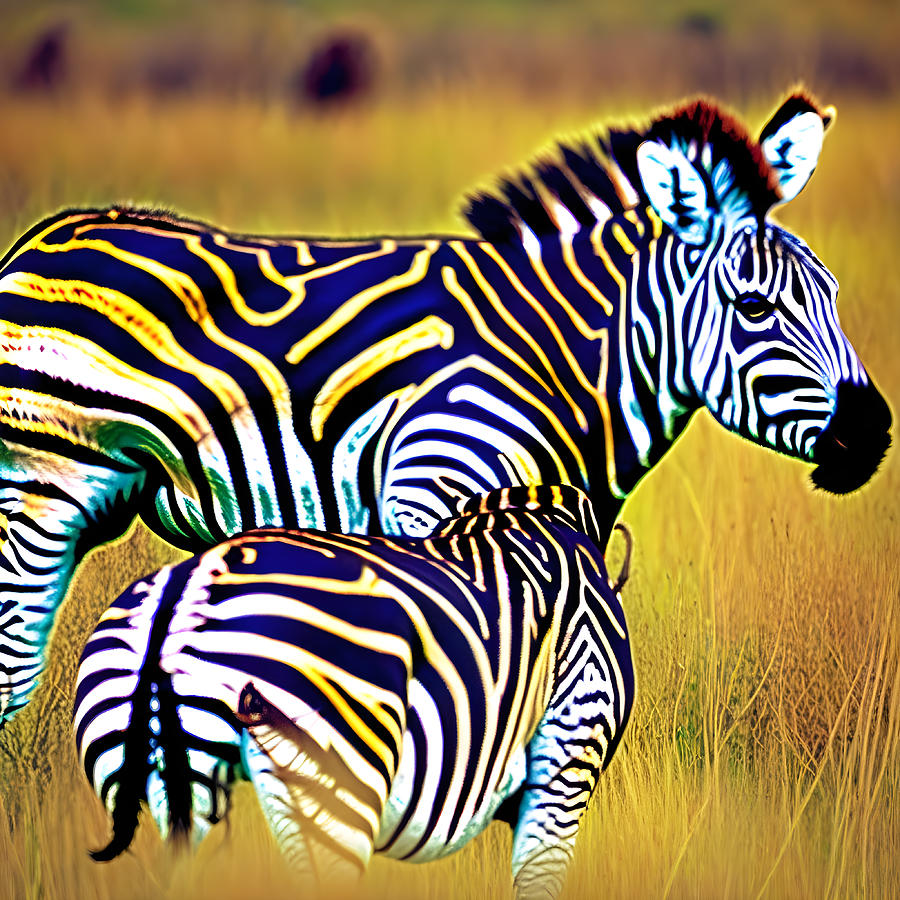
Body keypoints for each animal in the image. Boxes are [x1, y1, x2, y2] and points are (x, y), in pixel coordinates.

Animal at [0, 89, 891, 725]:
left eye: (833, 294)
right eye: (754, 307)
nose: (874, 432)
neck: (562, 356)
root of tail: (39, 239)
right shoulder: (435, 501)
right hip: (40, 492)